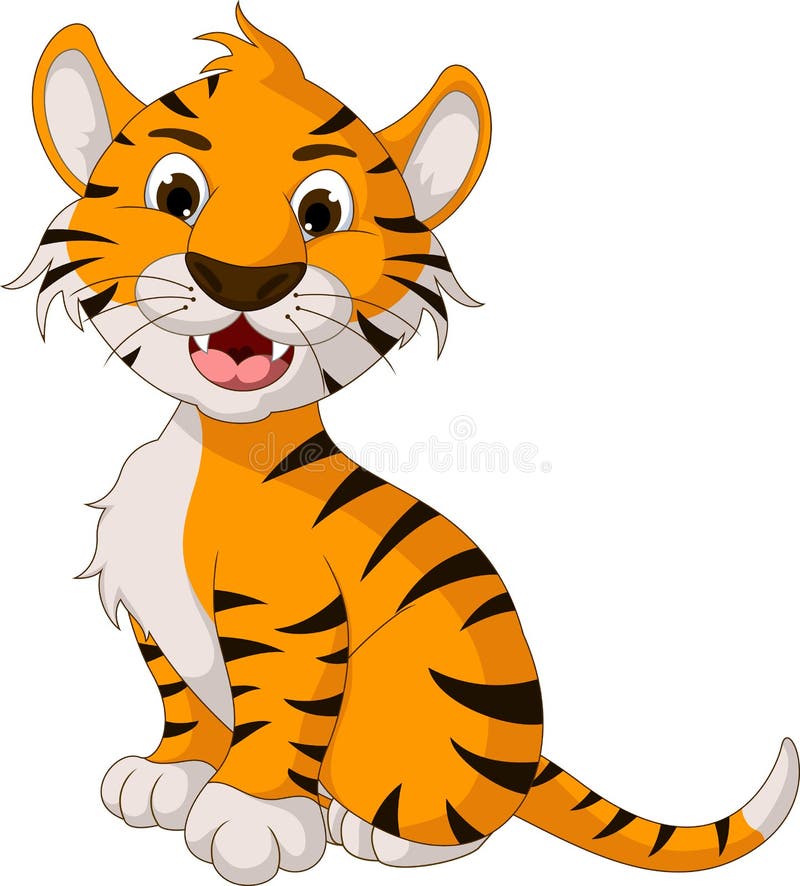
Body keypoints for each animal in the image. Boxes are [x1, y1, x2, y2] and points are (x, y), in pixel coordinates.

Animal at [7, 5, 797, 885]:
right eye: (176, 195)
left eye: (322, 211)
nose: (243, 278)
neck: (218, 439)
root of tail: (529, 757)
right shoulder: (155, 618)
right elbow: (184, 700)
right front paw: (171, 776)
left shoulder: (289, 615)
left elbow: (278, 716)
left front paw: (249, 818)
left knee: (472, 820)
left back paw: (372, 830)